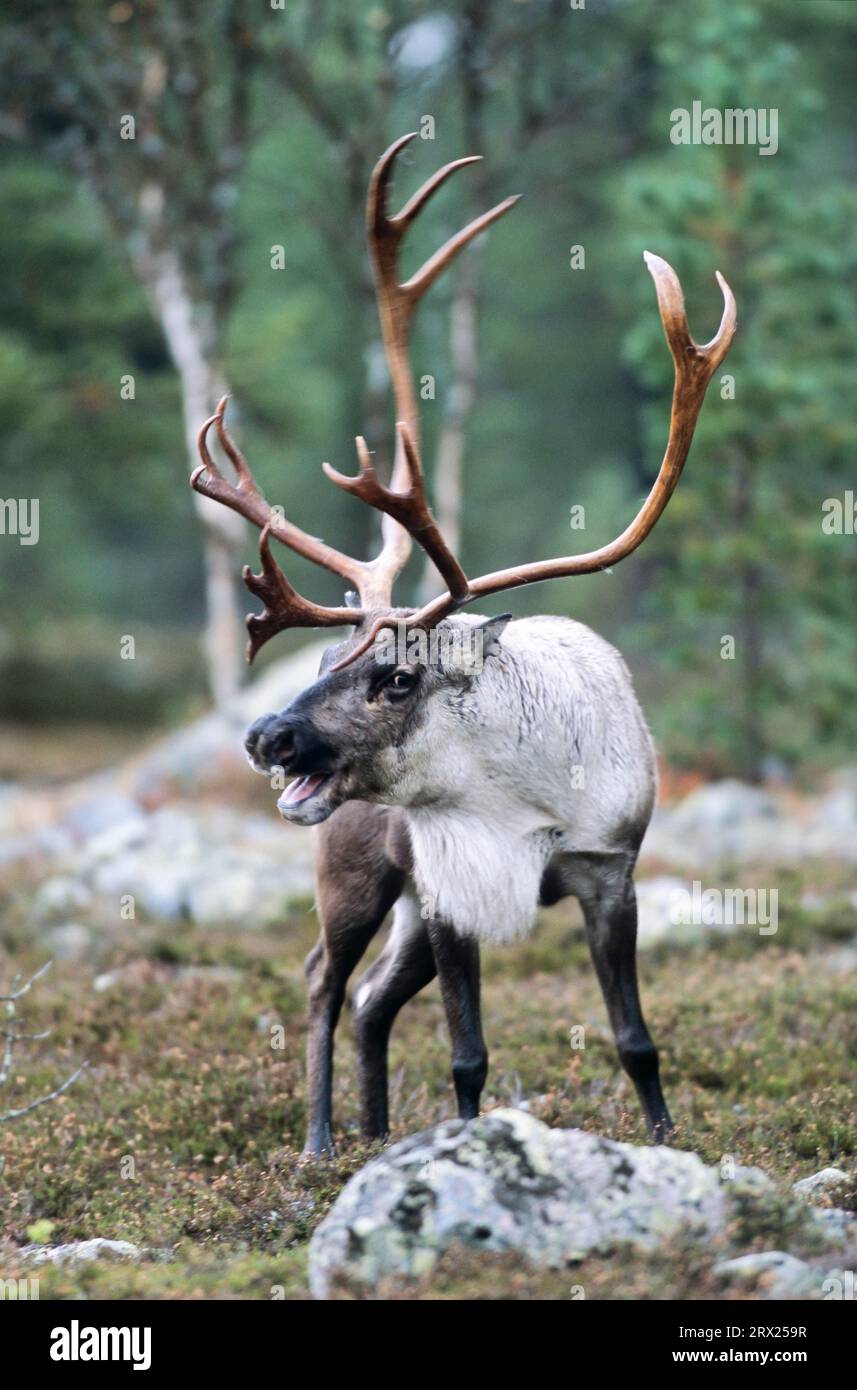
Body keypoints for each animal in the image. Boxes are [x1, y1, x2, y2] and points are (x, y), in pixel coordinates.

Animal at [191, 133, 736, 1156]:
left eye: (398, 677)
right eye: (333, 661)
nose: (265, 736)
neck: (524, 802)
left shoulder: (610, 872)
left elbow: (635, 1038)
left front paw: (663, 1136)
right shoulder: (452, 888)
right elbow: (466, 1055)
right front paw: (471, 1141)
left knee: (370, 998)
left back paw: (371, 1133)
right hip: (358, 873)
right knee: (326, 979)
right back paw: (323, 1142)